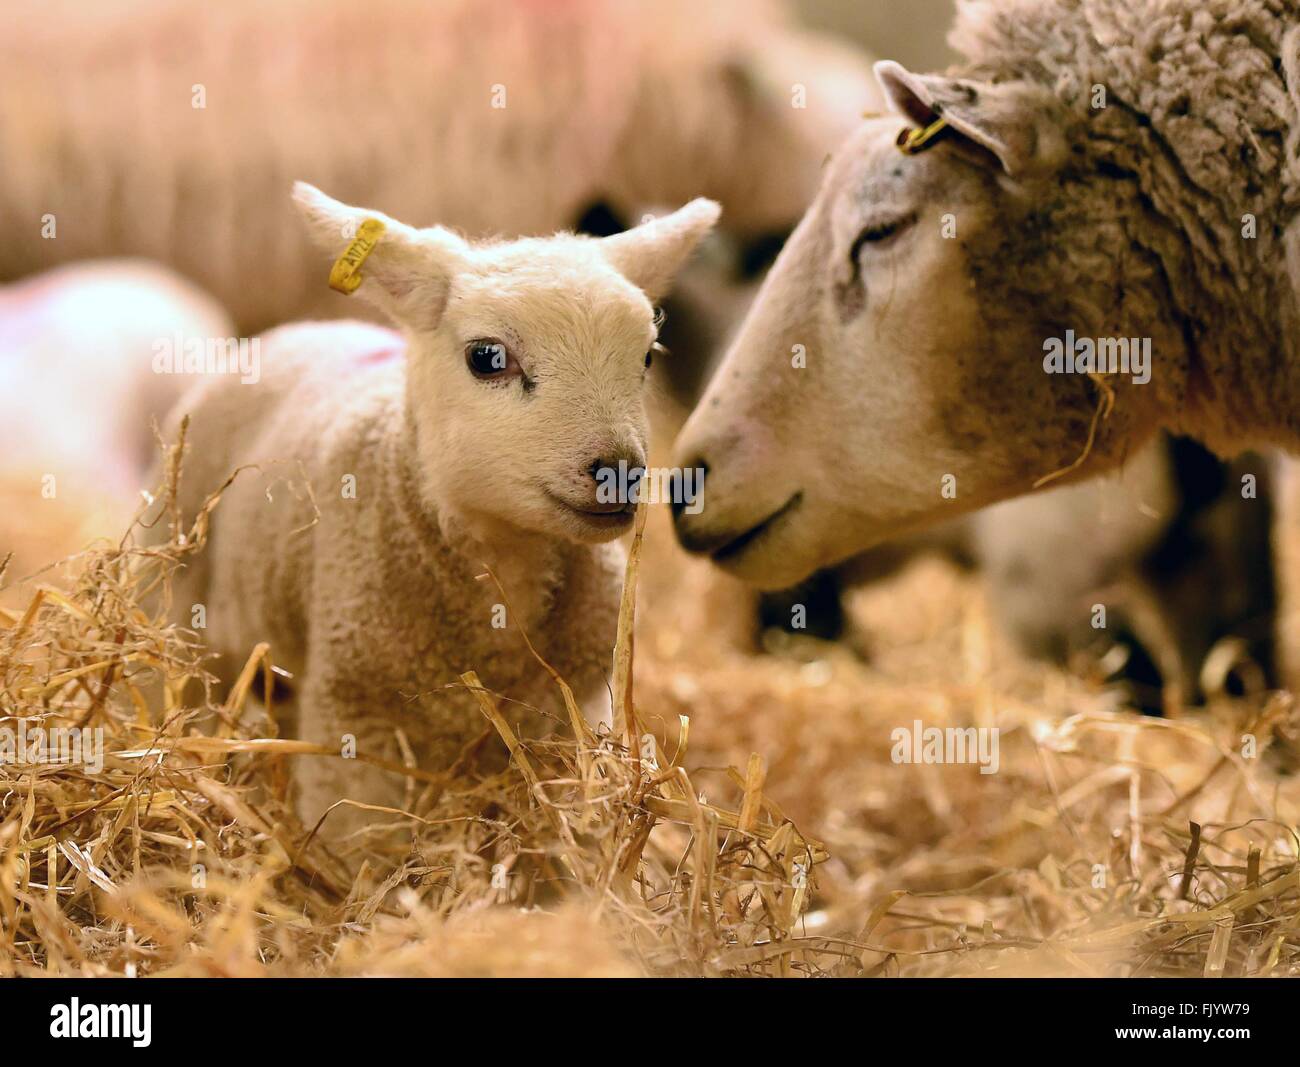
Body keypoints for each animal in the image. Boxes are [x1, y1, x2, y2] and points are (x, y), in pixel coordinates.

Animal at [164, 183, 718, 841]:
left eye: (648, 357)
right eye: (487, 358)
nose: (620, 473)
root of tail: (298, 330)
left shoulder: (570, 711)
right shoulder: (353, 713)